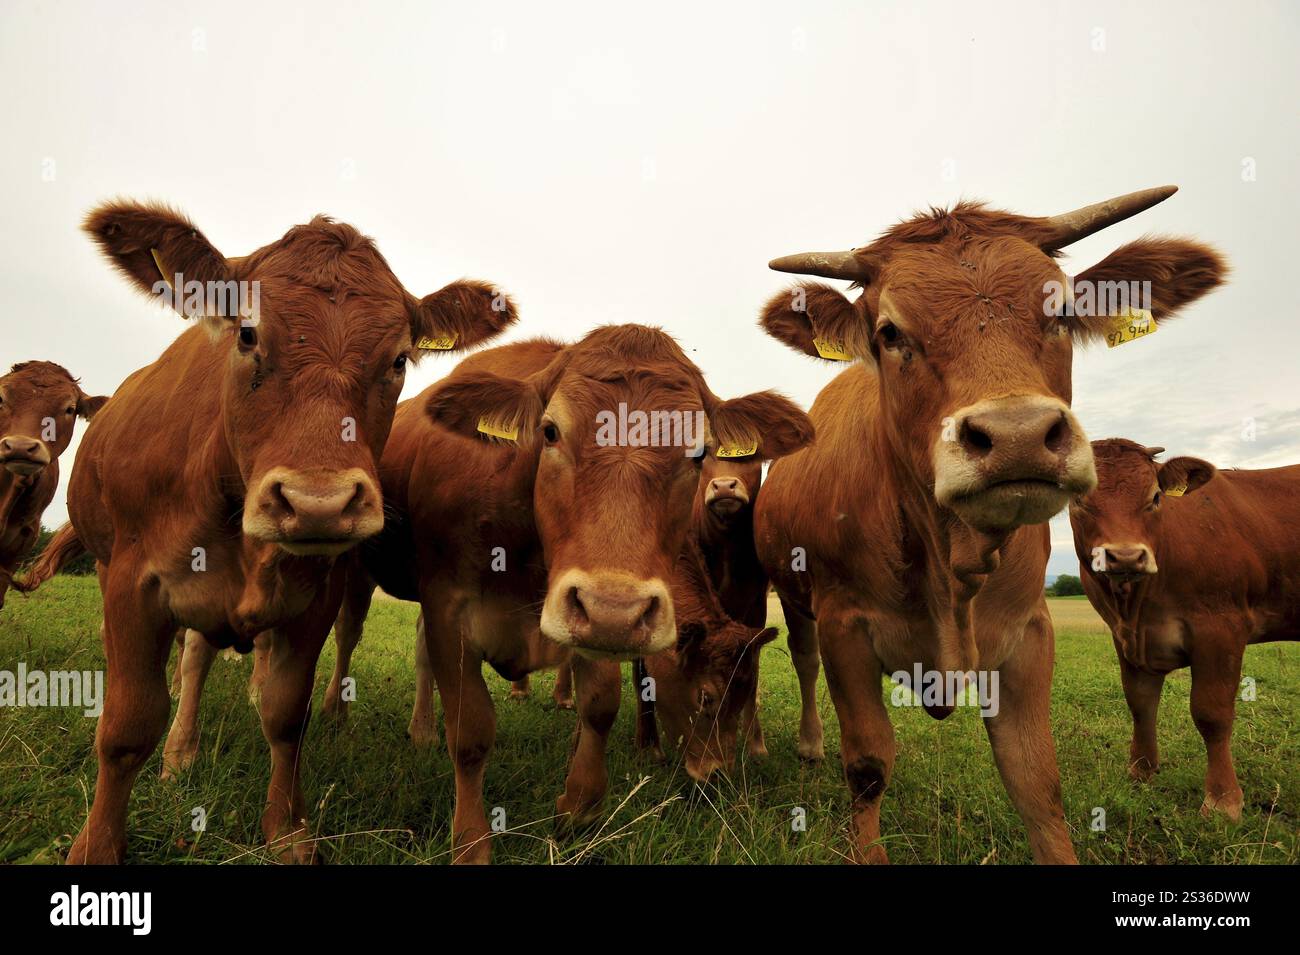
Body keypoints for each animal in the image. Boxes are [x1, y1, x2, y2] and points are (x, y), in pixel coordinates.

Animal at [19, 200, 517, 863]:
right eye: (247, 334)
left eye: (399, 359)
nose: (318, 503)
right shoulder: (131, 582)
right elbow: (127, 725)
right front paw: (97, 846)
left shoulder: (316, 593)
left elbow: (285, 716)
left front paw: (287, 831)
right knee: (193, 661)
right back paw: (180, 754)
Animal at [327, 328, 813, 862]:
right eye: (550, 432)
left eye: (698, 452)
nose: (717, 775)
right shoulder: (448, 609)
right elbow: (471, 732)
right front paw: (471, 842)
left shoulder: (595, 616)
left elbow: (600, 705)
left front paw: (578, 806)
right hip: (356, 569)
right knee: (351, 634)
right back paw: (346, 712)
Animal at [753, 186, 1226, 863]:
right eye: (889, 332)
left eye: (1060, 311)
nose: (1018, 436)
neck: (952, 559)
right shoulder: (845, 624)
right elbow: (868, 765)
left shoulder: (1029, 631)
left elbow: (1036, 780)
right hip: (795, 599)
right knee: (803, 657)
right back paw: (810, 742)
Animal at [1068, 438, 1300, 821]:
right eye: (1078, 500)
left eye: (1155, 497)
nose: (1126, 556)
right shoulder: (1124, 636)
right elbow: (1140, 702)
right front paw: (1142, 770)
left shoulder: (1220, 629)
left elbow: (1211, 714)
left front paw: (1223, 800)